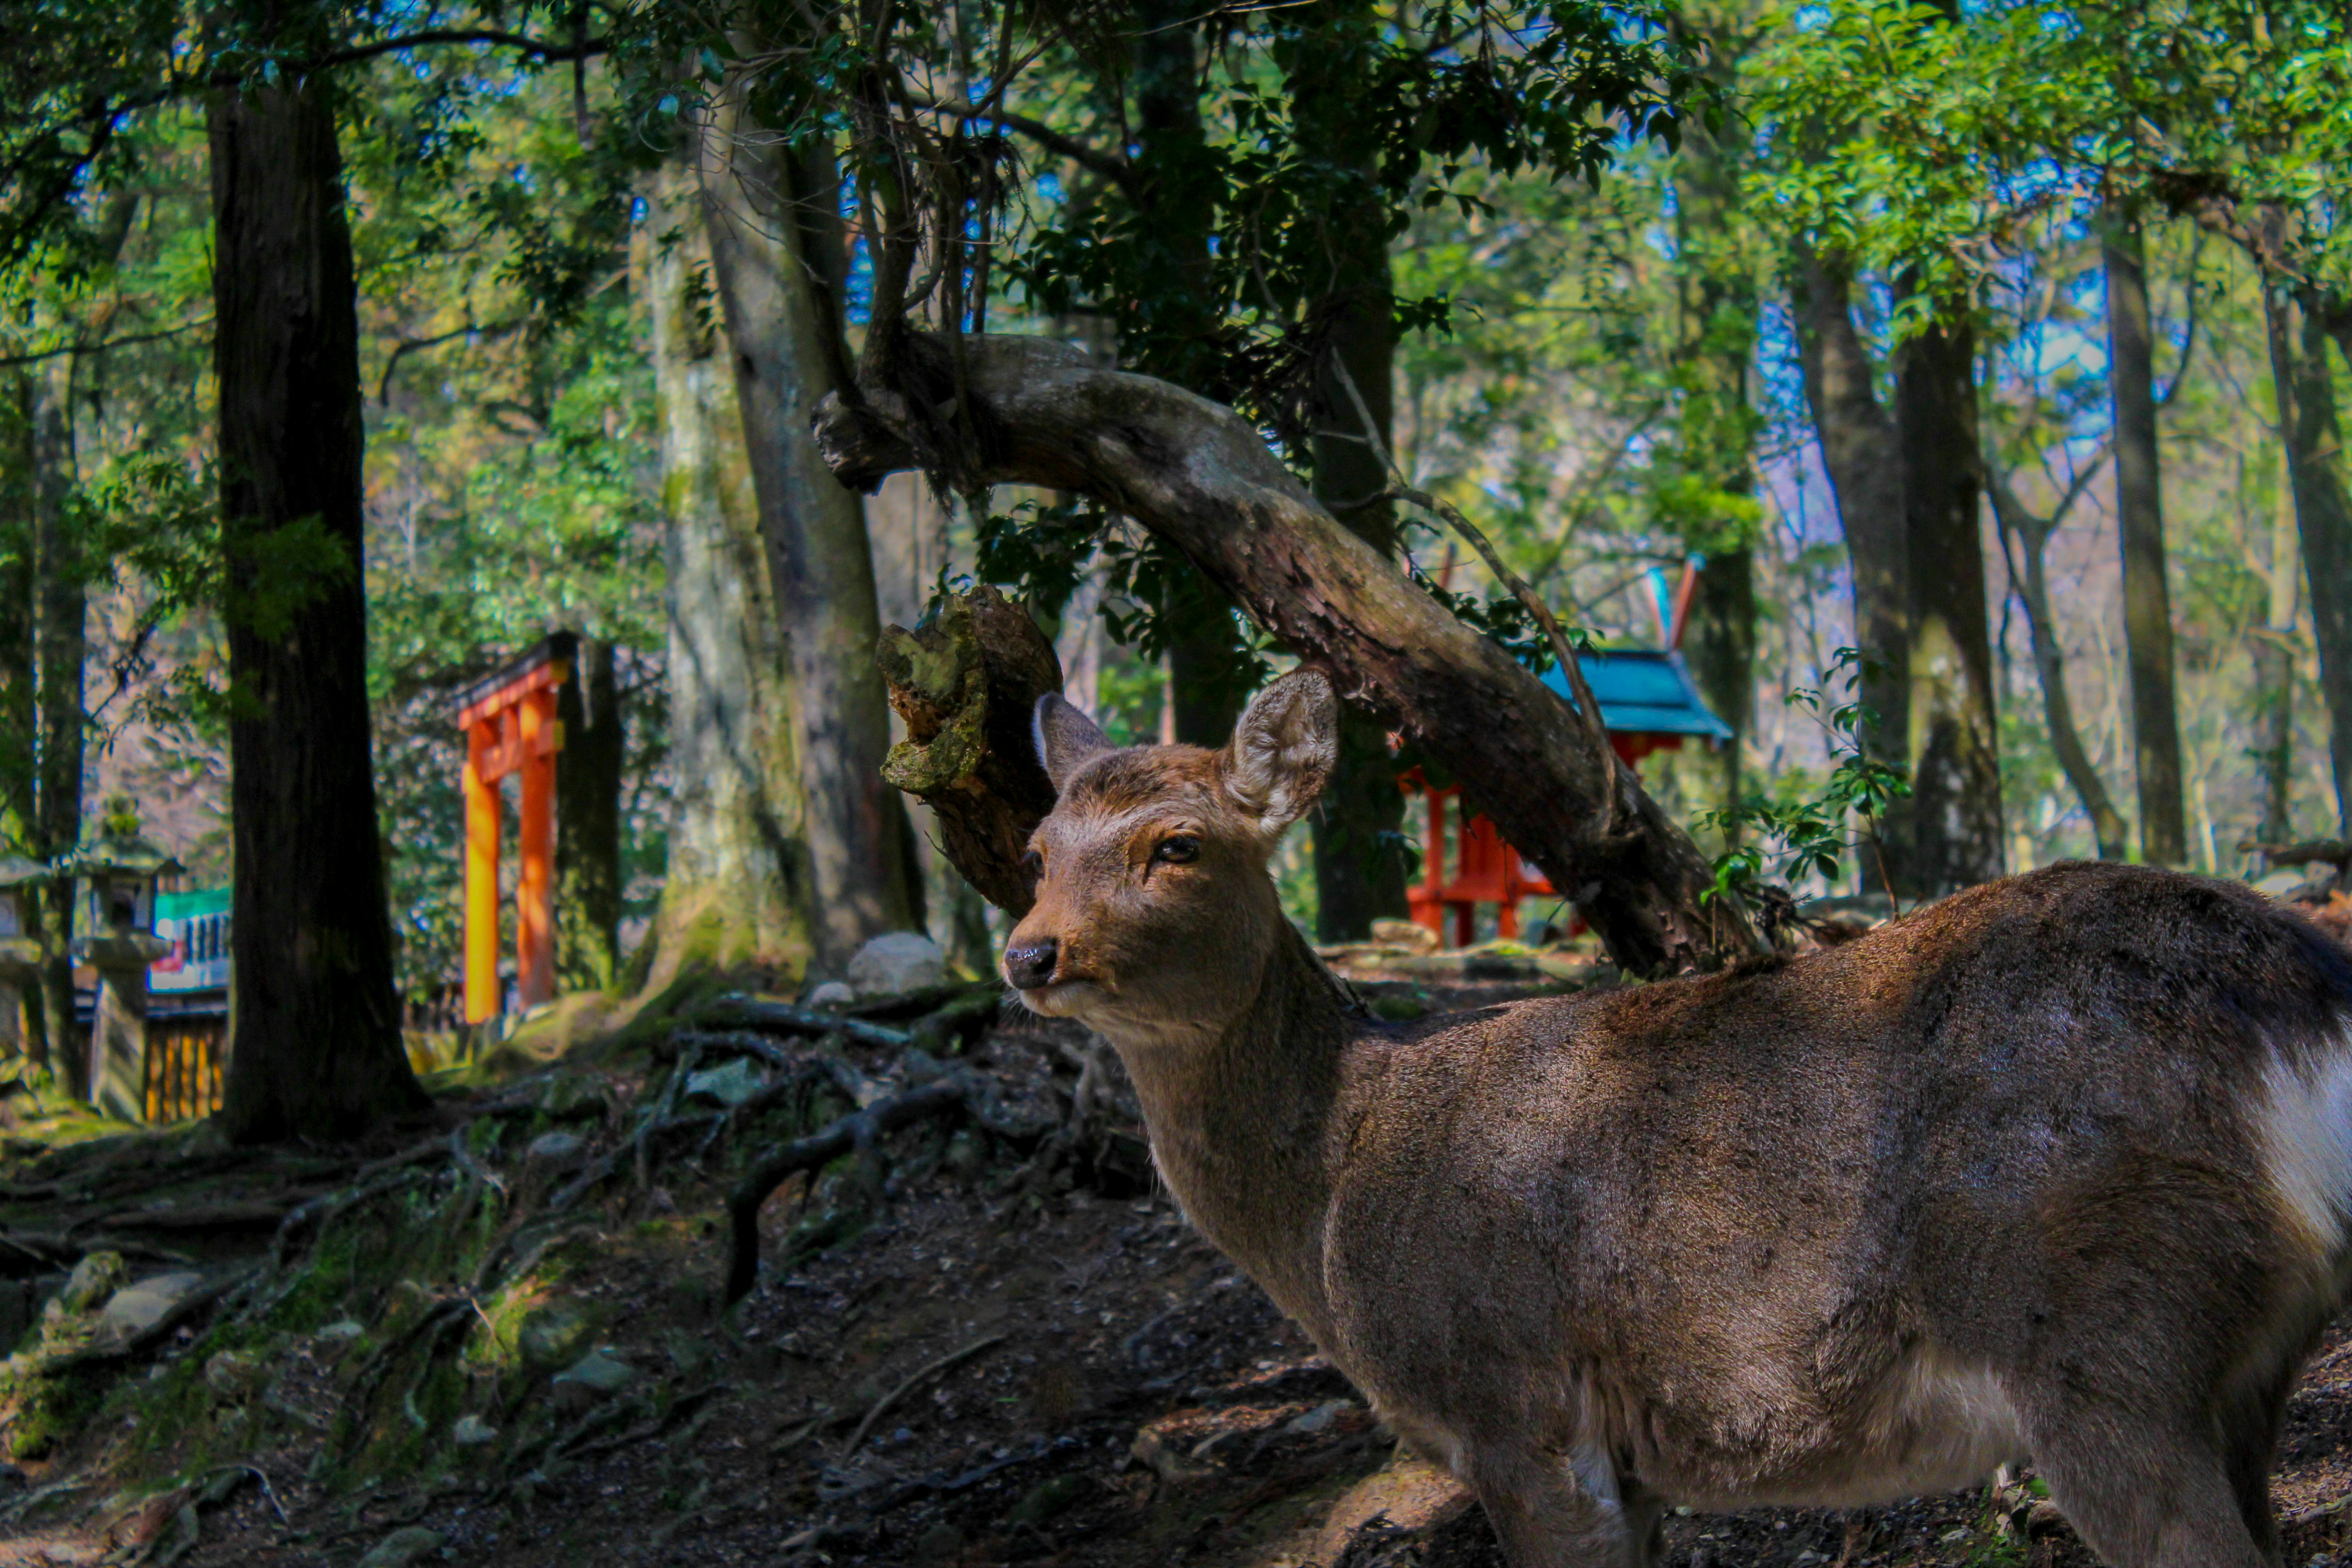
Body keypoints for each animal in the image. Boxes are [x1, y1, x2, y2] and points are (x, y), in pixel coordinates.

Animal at [1002, 668, 2352, 1568]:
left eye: (1178, 843)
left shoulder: (1512, 1403)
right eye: (1035, 846)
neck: (1334, 1201)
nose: (1028, 953)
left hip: (2102, 1322)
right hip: (2241, 1358)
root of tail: (2308, 993)